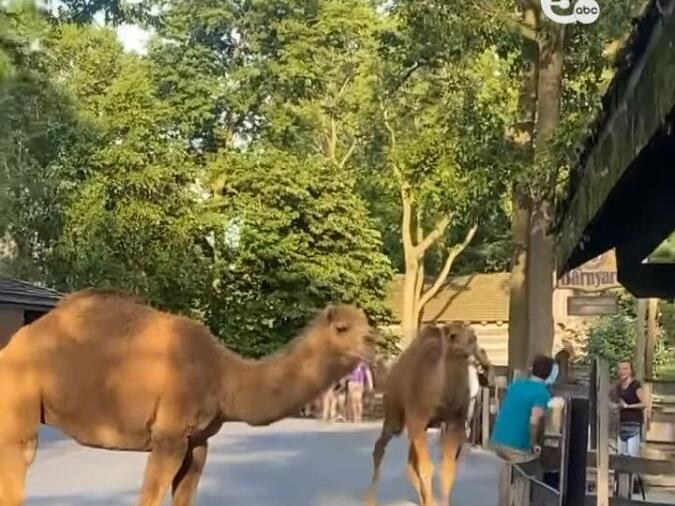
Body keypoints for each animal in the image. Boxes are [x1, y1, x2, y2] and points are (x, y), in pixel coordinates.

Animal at [0, 288, 374, 506]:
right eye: (342, 328)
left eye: (368, 324)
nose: (376, 343)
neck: (225, 376)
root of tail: (12, 345)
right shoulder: (169, 436)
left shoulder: (198, 442)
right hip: (18, 401)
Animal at [365, 322, 483, 506]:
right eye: (452, 335)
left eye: (473, 336)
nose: (470, 342)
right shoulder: (417, 419)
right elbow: (425, 468)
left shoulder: (455, 423)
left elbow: (447, 470)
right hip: (395, 414)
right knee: (381, 446)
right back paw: (370, 499)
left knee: (410, 462)